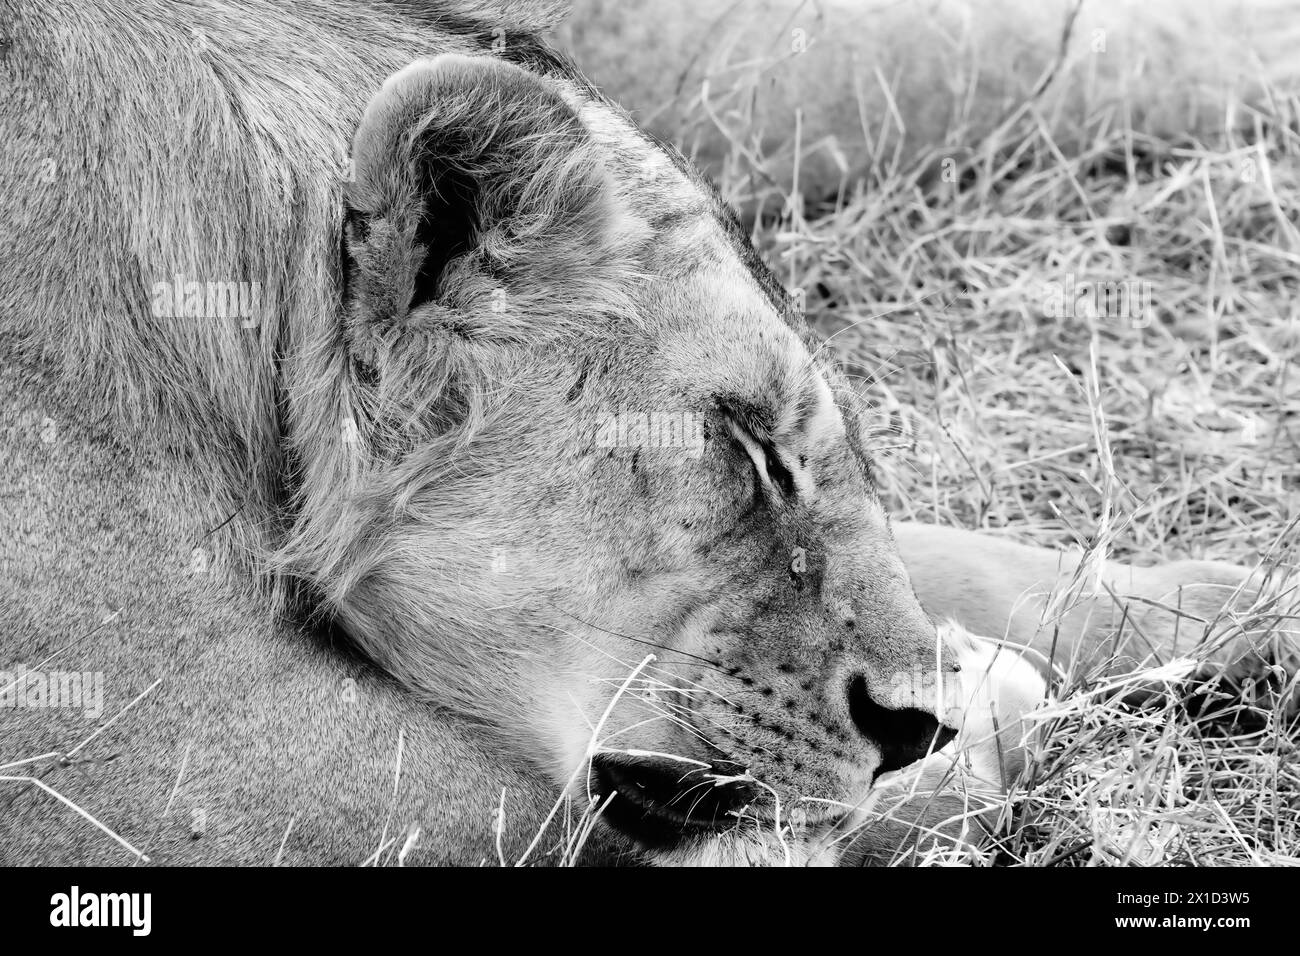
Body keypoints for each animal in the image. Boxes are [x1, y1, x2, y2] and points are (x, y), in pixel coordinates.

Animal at [0, 0, 1291, 867]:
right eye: (744, 445)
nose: (914, 722)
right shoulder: (155, 759)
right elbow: (745, 820)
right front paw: (989, 730)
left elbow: (959, 556)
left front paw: (1242, 609)